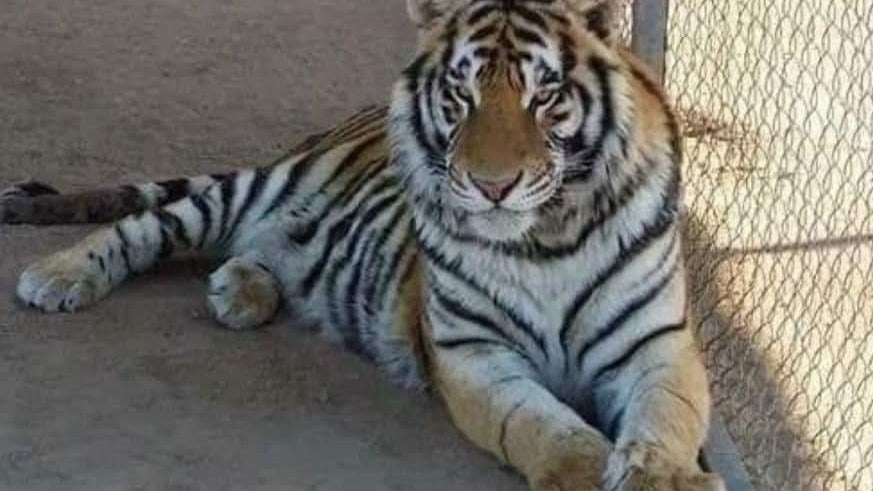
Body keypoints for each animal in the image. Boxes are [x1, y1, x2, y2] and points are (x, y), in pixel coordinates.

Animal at [1, 1, 724, 489]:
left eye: (544, 95)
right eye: (460, 95)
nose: (492, 186)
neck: (547, 238)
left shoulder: (656, 345)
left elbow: (669, 416)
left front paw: (663, 478)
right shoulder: (474, 353)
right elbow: (541, 426)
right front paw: (582, 470)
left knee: (262, 249)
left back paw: (241, 291)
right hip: (244, 193)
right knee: (141, 225)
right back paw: (58, 275)